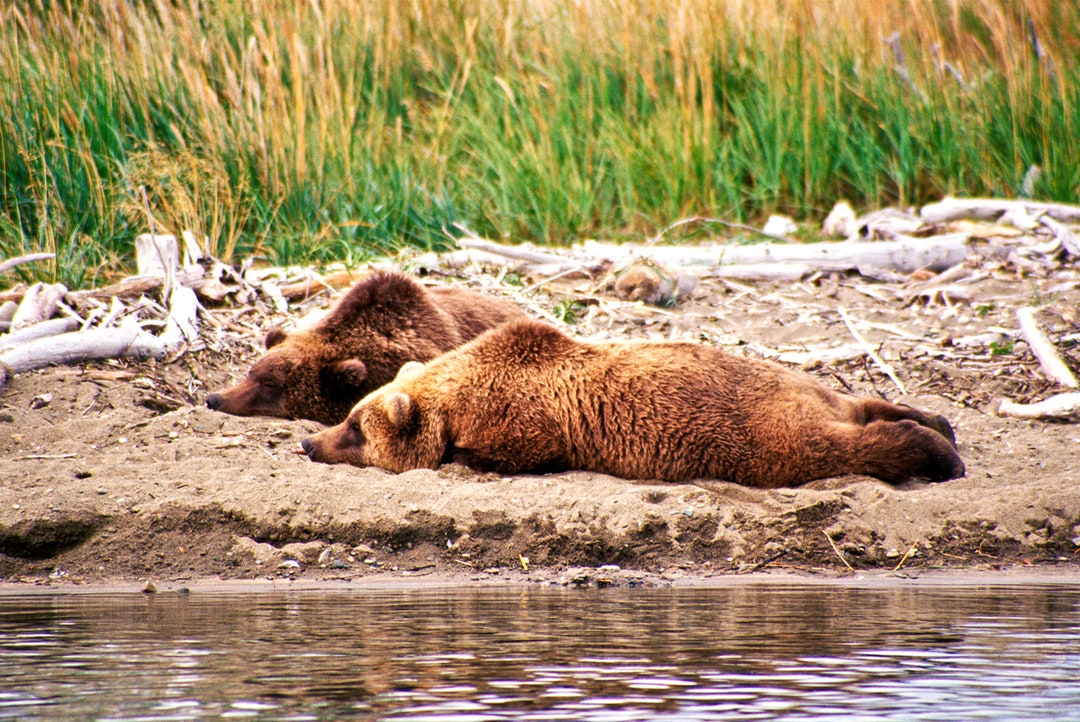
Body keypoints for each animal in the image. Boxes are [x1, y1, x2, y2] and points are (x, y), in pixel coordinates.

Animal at [300, 319, 965, 488]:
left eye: (354, 426)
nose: (308, 440)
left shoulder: (524, 414)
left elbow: (513, 451)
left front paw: (463, 457)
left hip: (763, 433)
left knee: (836, 446)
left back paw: (938, 452)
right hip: (801, 387)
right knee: (860, 404)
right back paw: (939, 421)